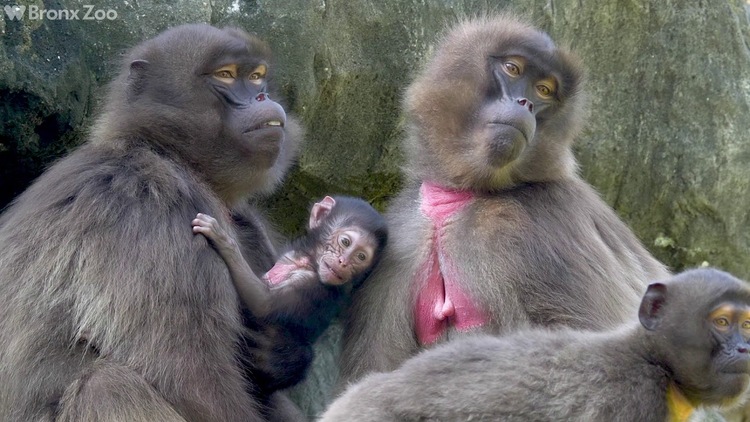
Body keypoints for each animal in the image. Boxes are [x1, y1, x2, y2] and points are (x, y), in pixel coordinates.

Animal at [0, 24, 304, 422]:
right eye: (226, 74)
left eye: (256, 76)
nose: (261, 95)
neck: (165, 151)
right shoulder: (158, 209)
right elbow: (188, 379)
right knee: (107, 385)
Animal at [192, 195, 388, 394]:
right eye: (345, 242)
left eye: (361, 257)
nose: (344, 262)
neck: (308, 261)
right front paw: (244, 214)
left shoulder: (311, 286)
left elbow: (263, 304)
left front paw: (225, 241)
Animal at [337, 14, 671, 387]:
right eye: (512, 69)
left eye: (544, 90)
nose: (525, 104)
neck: (465, 198)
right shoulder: (399, 239)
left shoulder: (536, 233)